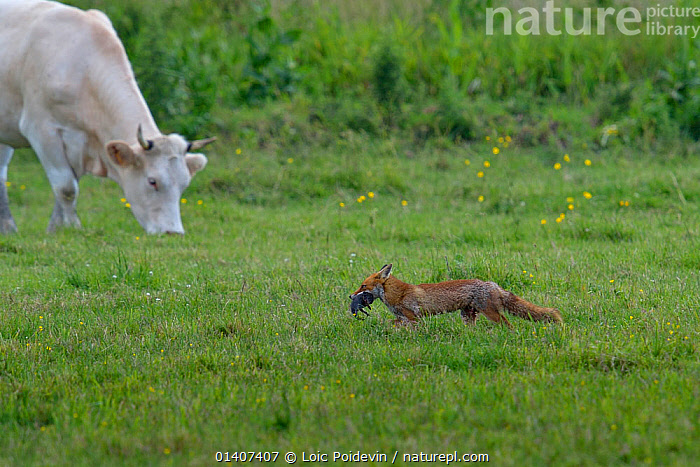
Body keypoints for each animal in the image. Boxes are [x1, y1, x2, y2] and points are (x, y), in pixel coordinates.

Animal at [350, 264, 562, 327]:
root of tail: (492, 284)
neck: (398, 294)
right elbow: (391, 323)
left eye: (363, 285)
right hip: (467, 316)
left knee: (508, 325)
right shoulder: (403, 318)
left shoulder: (414, 318)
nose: (351, 296)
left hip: (491, 314)